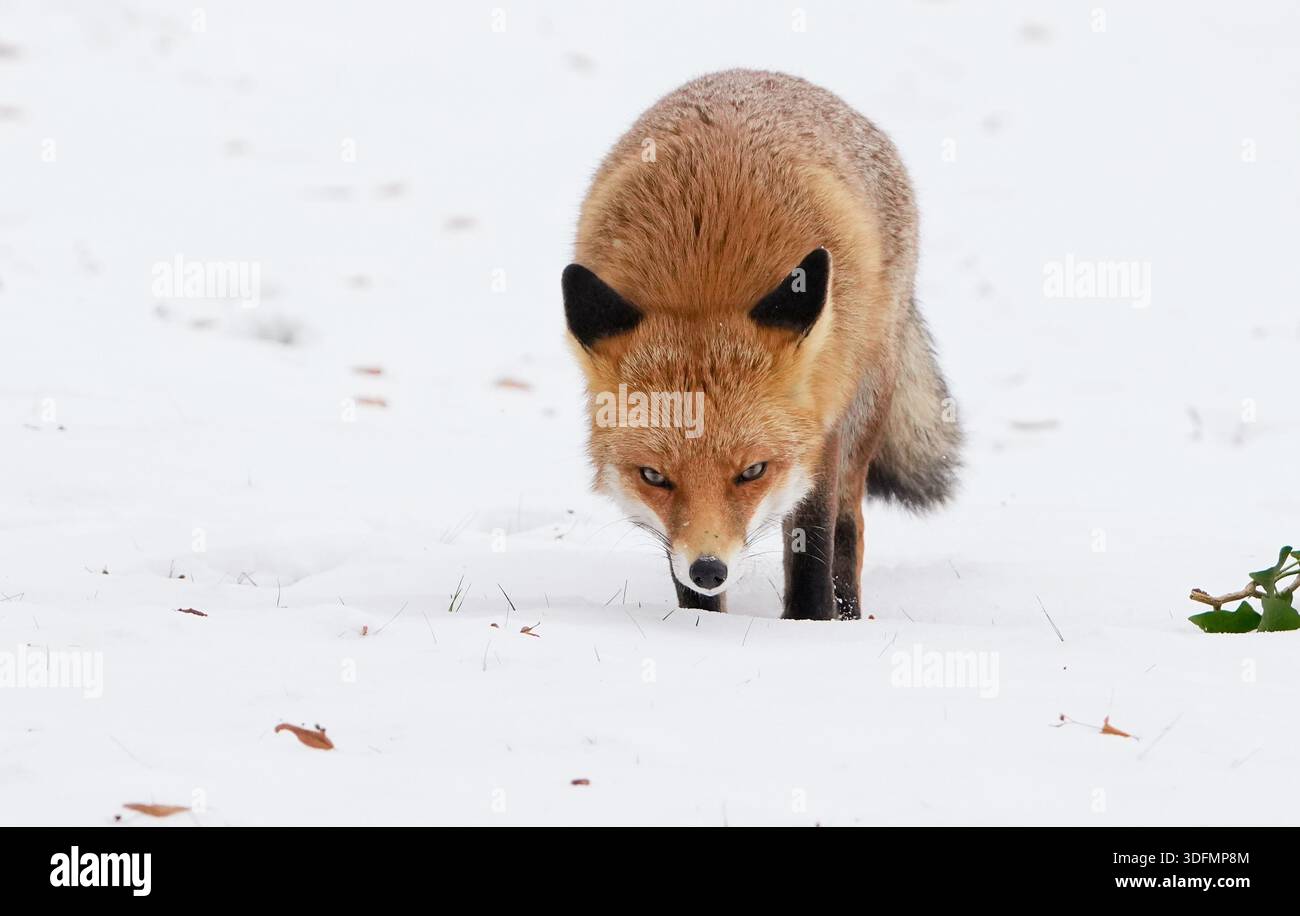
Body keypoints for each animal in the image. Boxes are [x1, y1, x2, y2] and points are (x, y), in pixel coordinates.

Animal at [562, 69, 961, 621]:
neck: (703, 285)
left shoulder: (820, 429)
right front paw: (699, 625)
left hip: (863, 404)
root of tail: (769, 76)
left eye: (752, 471)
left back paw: (848, 615)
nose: (709, 569)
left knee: (848, 528)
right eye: (653, 476)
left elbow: (812, 541)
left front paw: (809, 624)